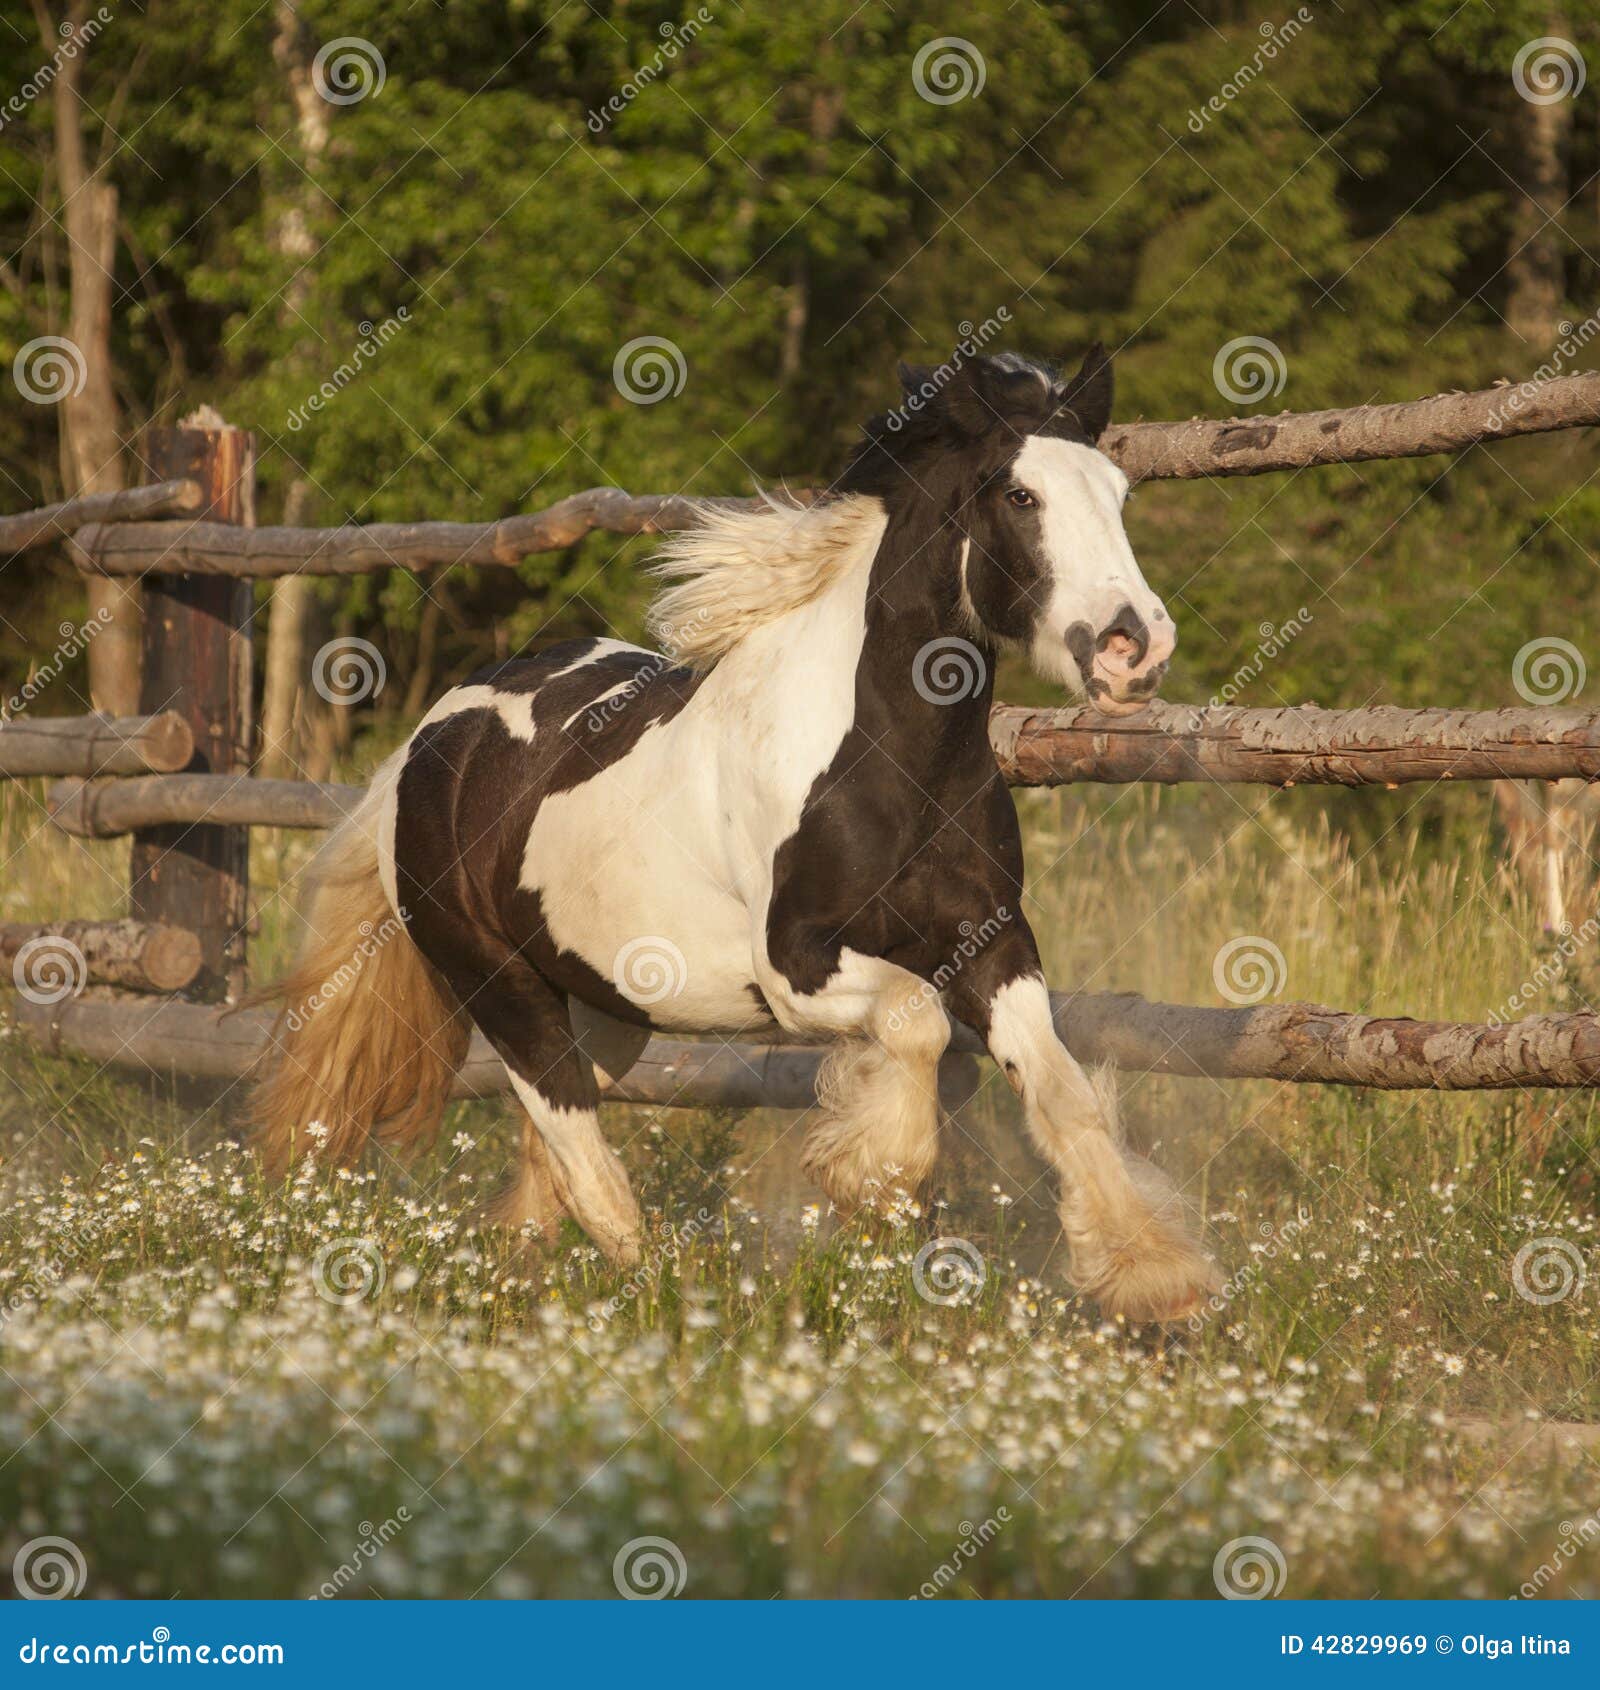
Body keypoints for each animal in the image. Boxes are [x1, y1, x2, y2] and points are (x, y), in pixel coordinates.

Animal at [252, 346, 1221, 1325]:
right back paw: (661, 1303)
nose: (1133, 649)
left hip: (606, 1013)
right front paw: (870, 1178)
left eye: (1118, 492)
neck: (891, 761)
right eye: (1020, 495)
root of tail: (425, 745)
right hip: (505, 992)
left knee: (548, 1157)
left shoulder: (993, 941)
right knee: (585, 1164)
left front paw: (1154, 1277)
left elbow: (1062, 1093)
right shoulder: (794, 965)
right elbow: (916, 1024)